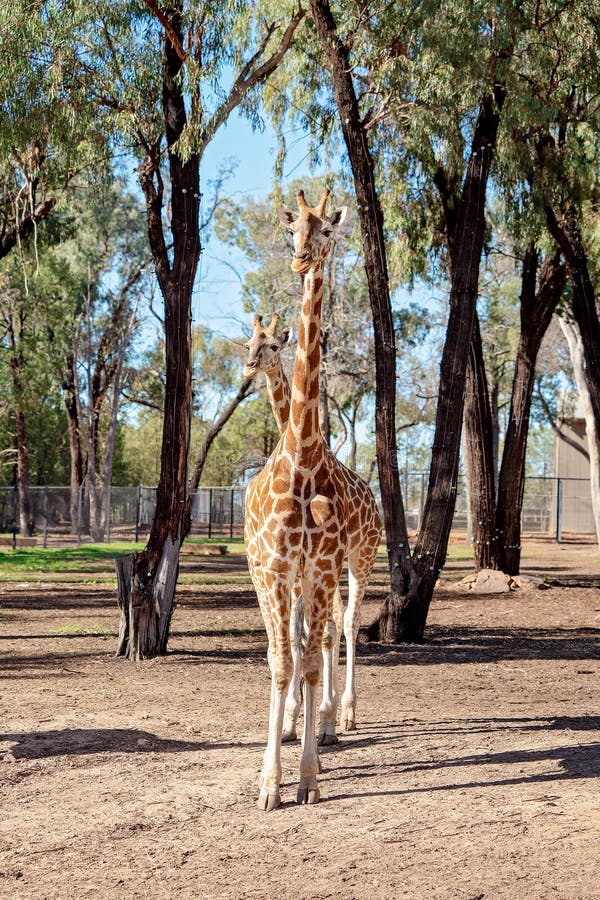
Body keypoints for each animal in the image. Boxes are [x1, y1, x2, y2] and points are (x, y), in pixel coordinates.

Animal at [243, 311, 382, 745]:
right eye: (248, 344)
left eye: (273, 346)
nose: (250, 366)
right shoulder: (293, 568)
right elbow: (298, 635)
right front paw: (292, 719)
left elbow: (316, 634)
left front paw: (319, 717)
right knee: (330, 625)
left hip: (362, 554)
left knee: (349, 620)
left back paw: (345, 713)